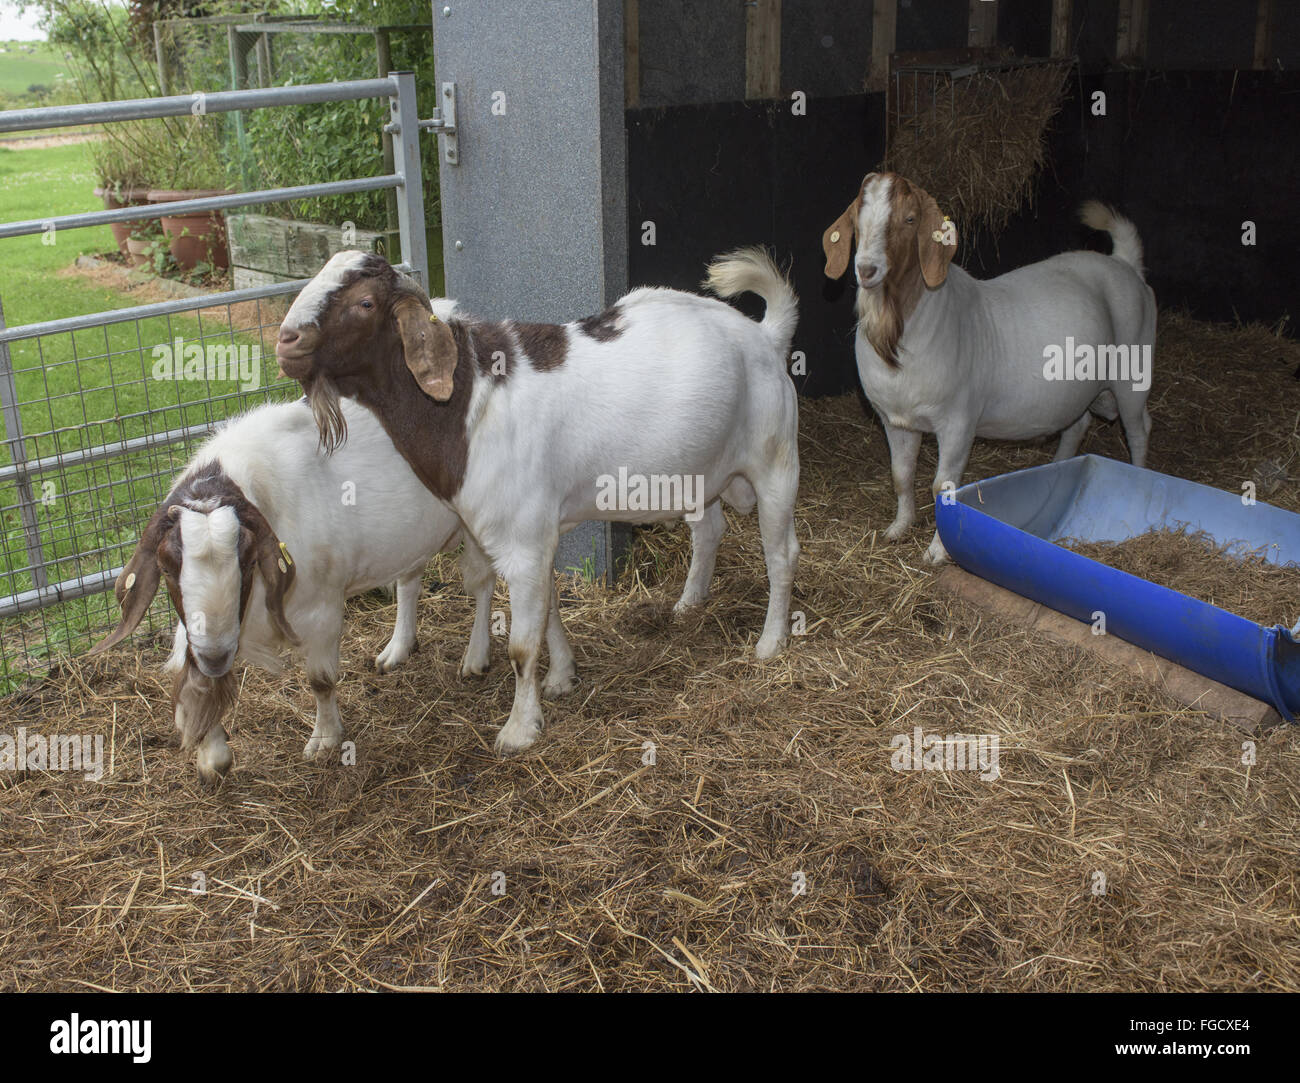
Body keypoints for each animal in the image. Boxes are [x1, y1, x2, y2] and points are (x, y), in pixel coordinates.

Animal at [90, 396, 496, 783]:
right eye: (167, 566)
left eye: (248, 558)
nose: (217, 656)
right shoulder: (196, 627)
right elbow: (196, 682)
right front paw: (212, 757)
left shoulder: (323, 610)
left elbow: (321, 680)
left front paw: (325, 740)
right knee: (409, 580)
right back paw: (397, 648)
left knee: (483, 583)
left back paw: (476, 658)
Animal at [275, 248, 801, 754]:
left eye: (364, 303)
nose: (285, 341)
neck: (468, 404)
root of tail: (764, 335)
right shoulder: (539, 532)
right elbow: (548, 613)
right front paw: (562, 678)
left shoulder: (523, 540)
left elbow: (522, 646)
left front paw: (519, 730)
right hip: (701, 474)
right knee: (709, 531)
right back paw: (689, 604)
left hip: (776, 460)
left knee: (781, 553)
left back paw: (770, 642)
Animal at [823, 171, 1156, 563]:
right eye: (857, 217)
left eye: (909, 219)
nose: (867, 269)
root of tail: (1124, 264)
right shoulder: (894, 420)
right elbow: (900, 475)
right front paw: (898, 529)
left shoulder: (958, 421)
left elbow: (943, 487)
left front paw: (937, 551)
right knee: (1078, 424)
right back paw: (1058, 467)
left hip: (1134, 373)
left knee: (1138, 428)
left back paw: (1138, 475)